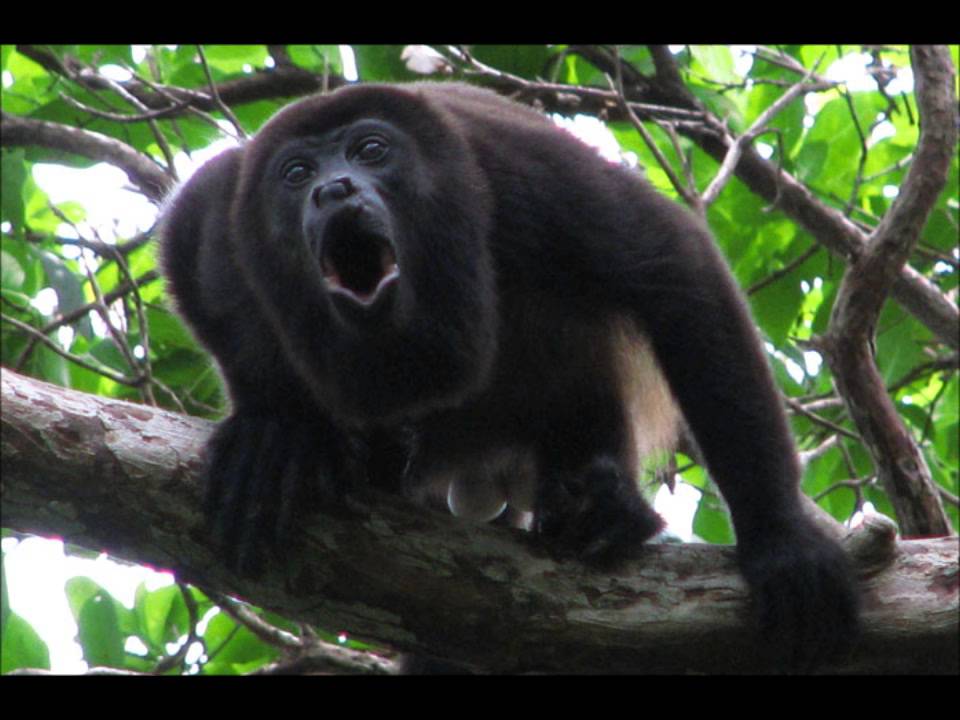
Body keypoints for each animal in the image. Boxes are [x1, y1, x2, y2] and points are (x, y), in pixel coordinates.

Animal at [160, 81, 859, 668]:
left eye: (371, 151)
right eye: (296, 173)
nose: (334, 189)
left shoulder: (518, 167)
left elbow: (674, 267)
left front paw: (779, 535)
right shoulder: (233, 202)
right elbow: (195, 218)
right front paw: (276, 432)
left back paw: (602, 506)